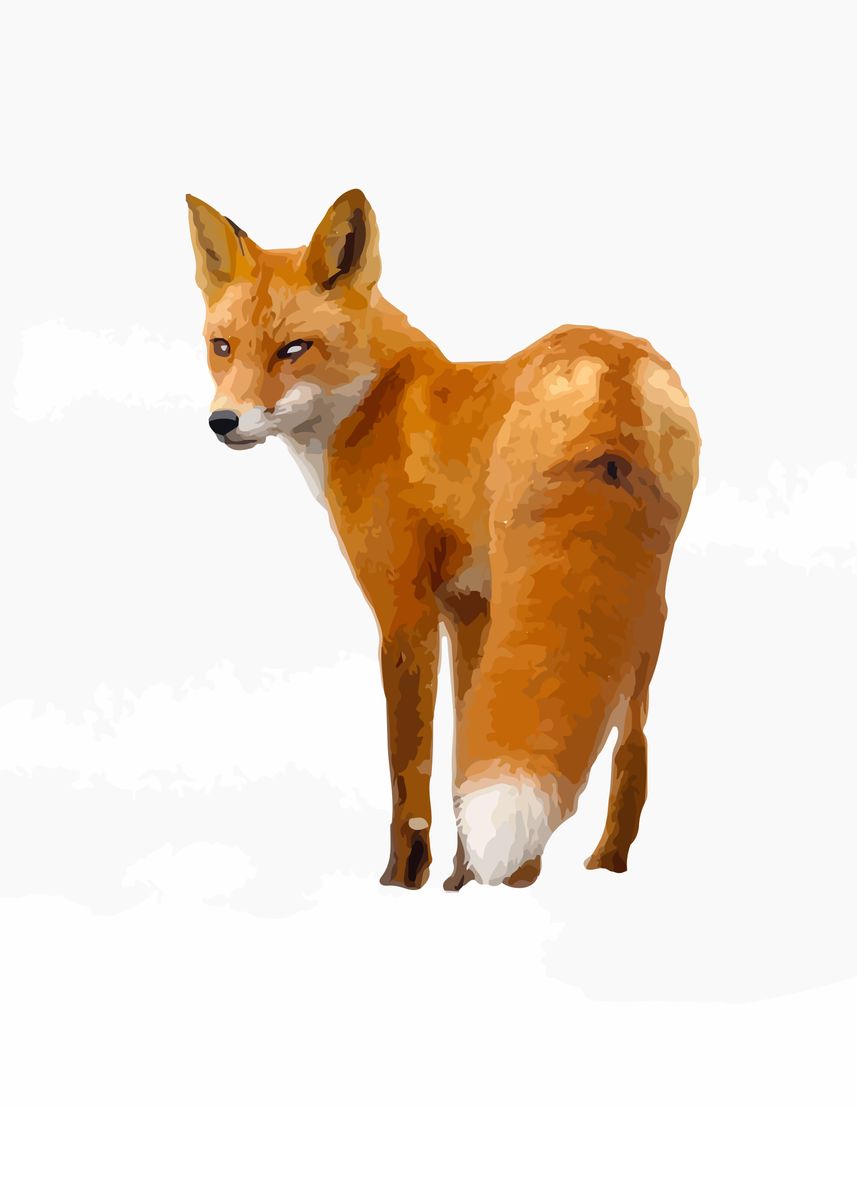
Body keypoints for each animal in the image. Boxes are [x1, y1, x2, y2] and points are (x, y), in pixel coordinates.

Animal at [186, 189, 700, 890]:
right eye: (221, 346)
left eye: (293, 348)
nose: (223, 421)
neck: (375, 402)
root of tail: (606, 366)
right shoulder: (468, 611)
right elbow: (466, 749)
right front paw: (466, 879)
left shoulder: (405, 612)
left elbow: (412, 765)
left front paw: (407, 879)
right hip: (641, 609)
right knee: (632, 746)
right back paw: (601, 867)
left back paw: (534, 875)